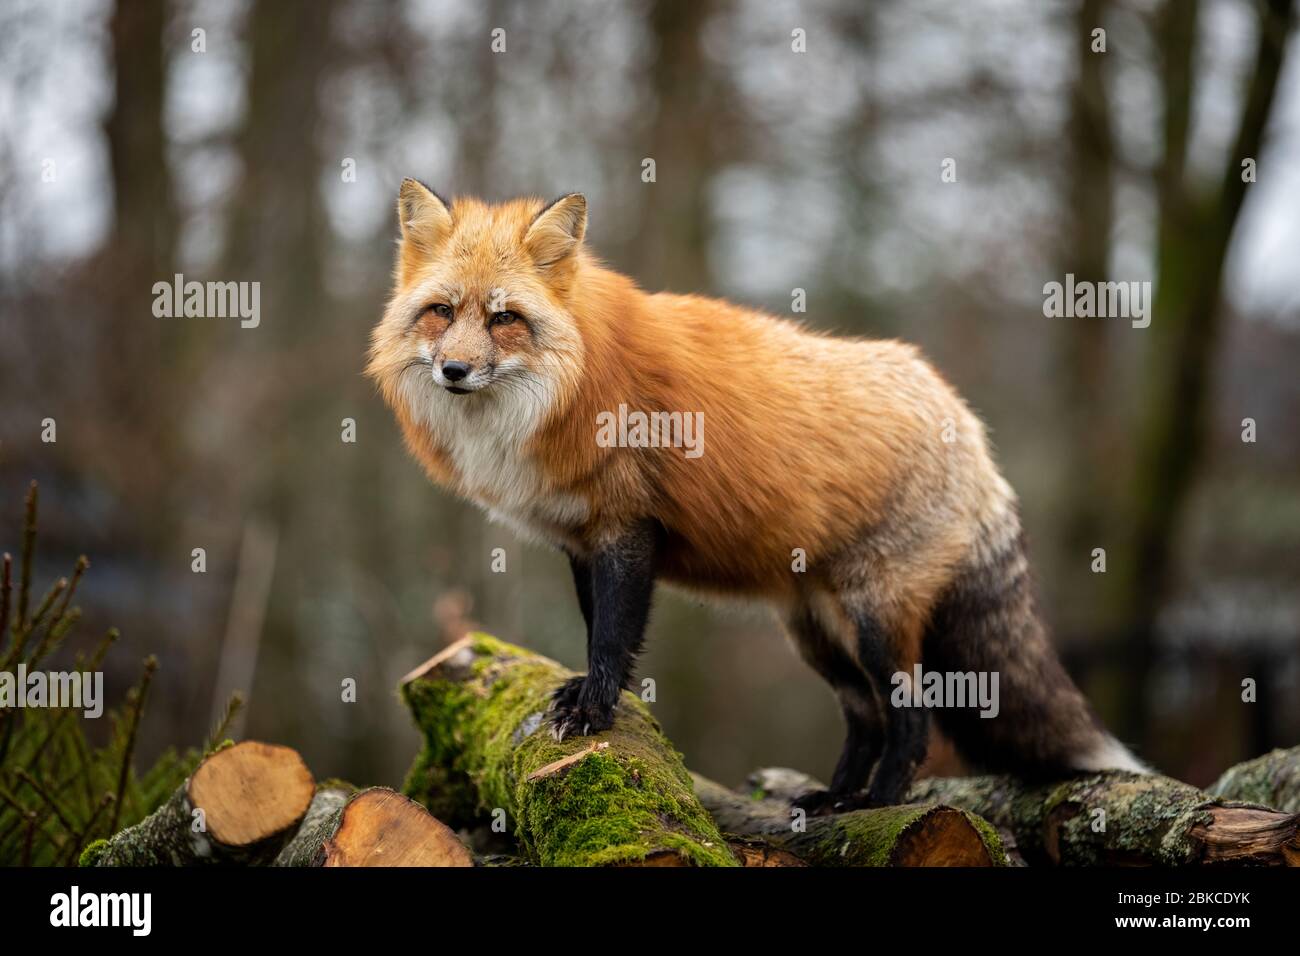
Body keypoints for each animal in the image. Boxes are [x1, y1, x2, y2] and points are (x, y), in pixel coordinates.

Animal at [367, 180, 1147, 811]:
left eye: (505, 319)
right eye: (442, 312)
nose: (455, 371)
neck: (568, 385)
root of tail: (965, 419)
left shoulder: (628, 529)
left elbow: (612, 637)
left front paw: (593, 710)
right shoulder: (581, 539)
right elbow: (594, 632)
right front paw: (591, 698)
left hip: (876, 620)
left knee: (911, 716)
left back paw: (879, 803)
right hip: (817, 632)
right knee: (865, 717)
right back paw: (832, 797)